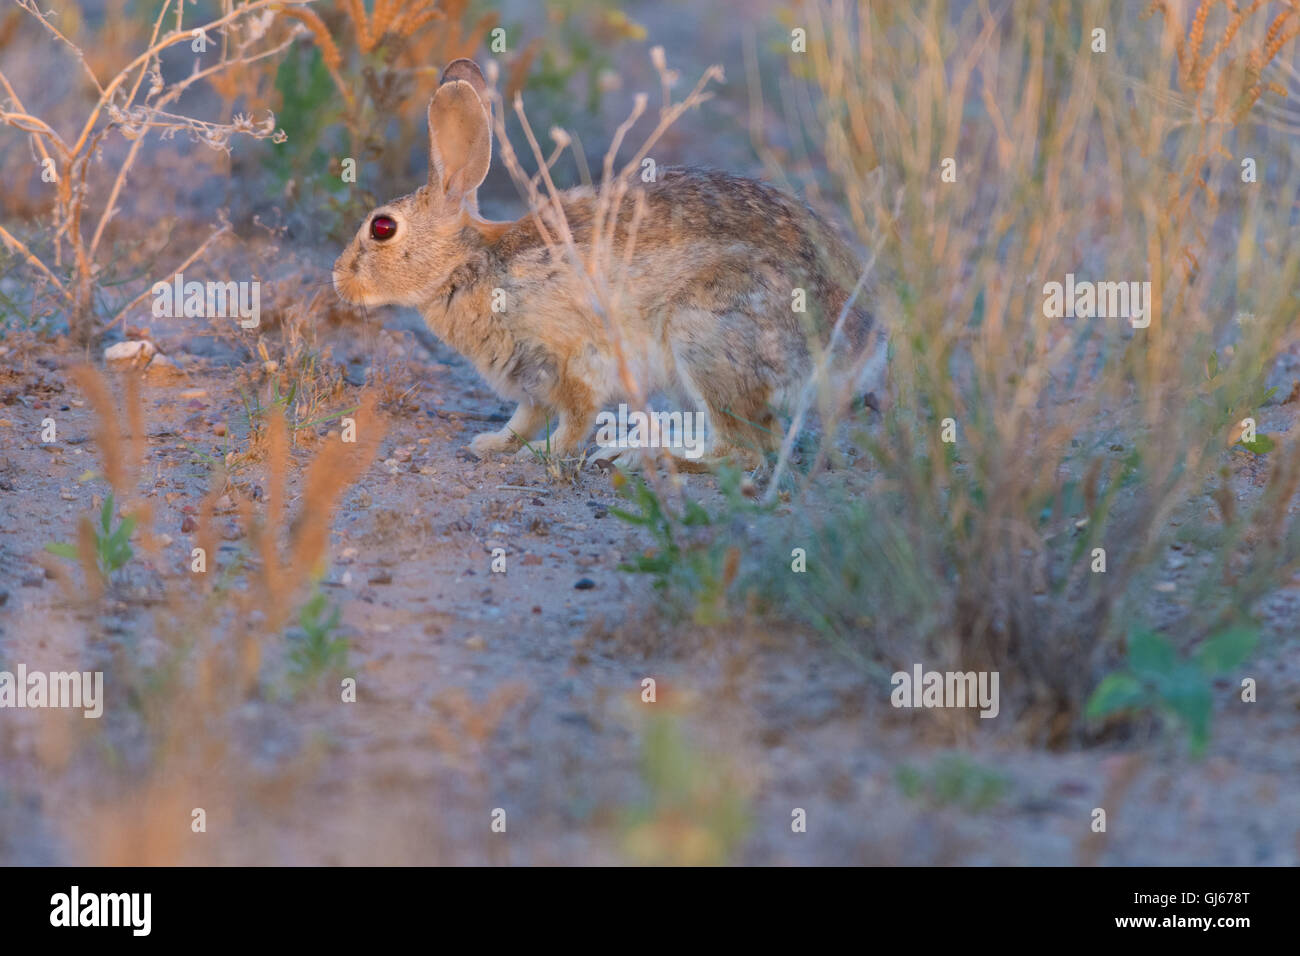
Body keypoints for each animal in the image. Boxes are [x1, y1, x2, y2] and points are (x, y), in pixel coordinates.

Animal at [333, 58, 887, 470]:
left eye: (382, 229)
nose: (339, 280)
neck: (468, 264)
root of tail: (856, 351)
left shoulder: (568, 359)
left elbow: (574, 417)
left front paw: (544, 453)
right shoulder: (530, 381)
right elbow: (524, 416)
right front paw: (492, 444)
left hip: (707, 336)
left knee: (746, 448)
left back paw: (640, 457)